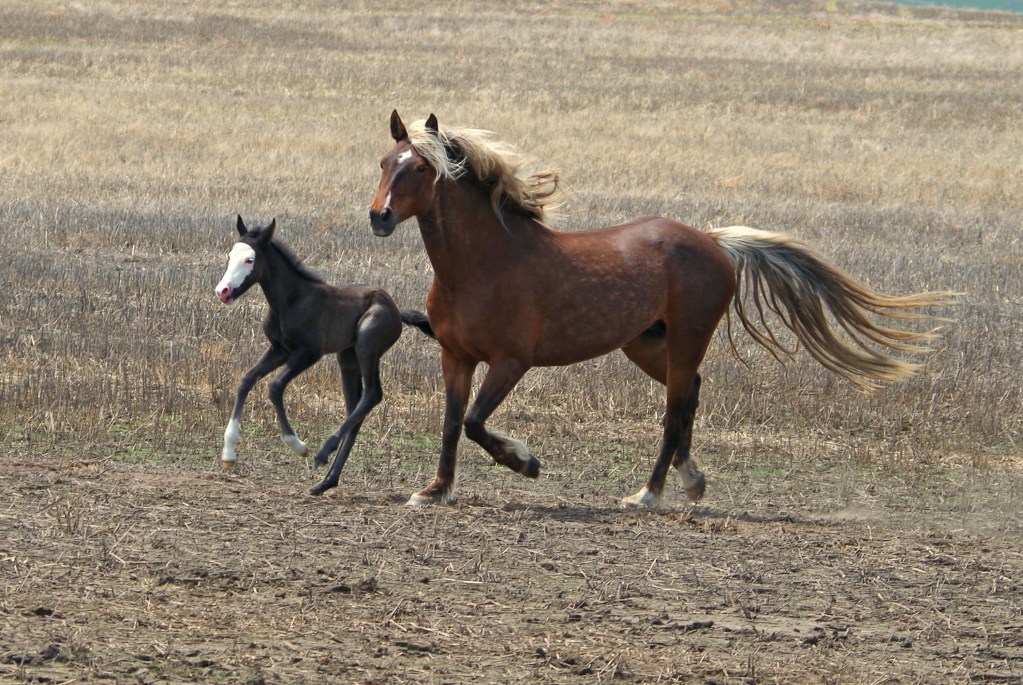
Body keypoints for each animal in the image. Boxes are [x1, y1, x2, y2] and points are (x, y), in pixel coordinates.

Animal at [214, 215, 433, 496]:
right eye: (230, 256)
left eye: (250, 260)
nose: (223, 291)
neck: (291, 301)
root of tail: (396, 310)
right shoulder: (279, 350)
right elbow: (245, 381)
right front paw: (229, 454)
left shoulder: (308, 353)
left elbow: (274, 387)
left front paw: (297, 445)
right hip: (347, 358)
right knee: (356, 408)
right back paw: (326, 482)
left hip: (367, 346)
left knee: (373, 395)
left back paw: (321, 454)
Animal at [368, 111, 952, 510]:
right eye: (383, 163)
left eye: (420, 169)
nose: (379, 217)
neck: (482, 265)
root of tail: (714, 243)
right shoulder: (455, 357)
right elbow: (451, 423)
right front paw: (435, 490)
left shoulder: (512, 362)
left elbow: (474, 422)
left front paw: (524, 462)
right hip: (648, 344)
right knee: (690, 393)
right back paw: (692, 480)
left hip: (687, 338)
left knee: (674, 411)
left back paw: (648, 494)